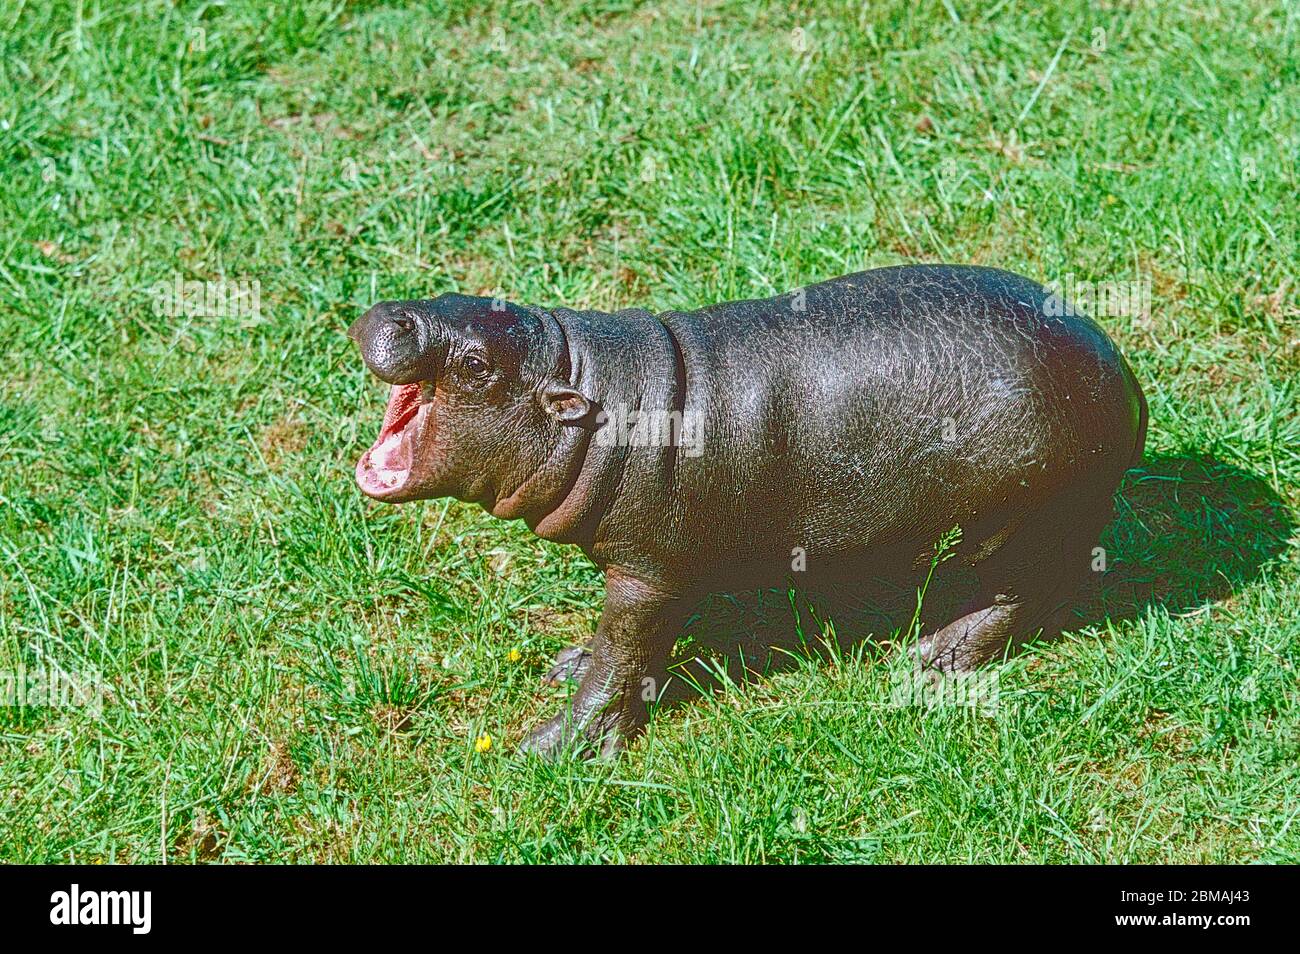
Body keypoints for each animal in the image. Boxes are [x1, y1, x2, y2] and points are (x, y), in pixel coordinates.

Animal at [348, 265, 1147, 758]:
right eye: (465, 294)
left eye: (478, 366)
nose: (392, 313)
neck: (592, 385)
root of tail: (1125, 371)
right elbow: (620, 650)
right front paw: (564, 665)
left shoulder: (649, 573)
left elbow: (624, 652)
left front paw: (552, 748)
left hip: (1018, 522)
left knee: (1014, 593)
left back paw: (926, 661)